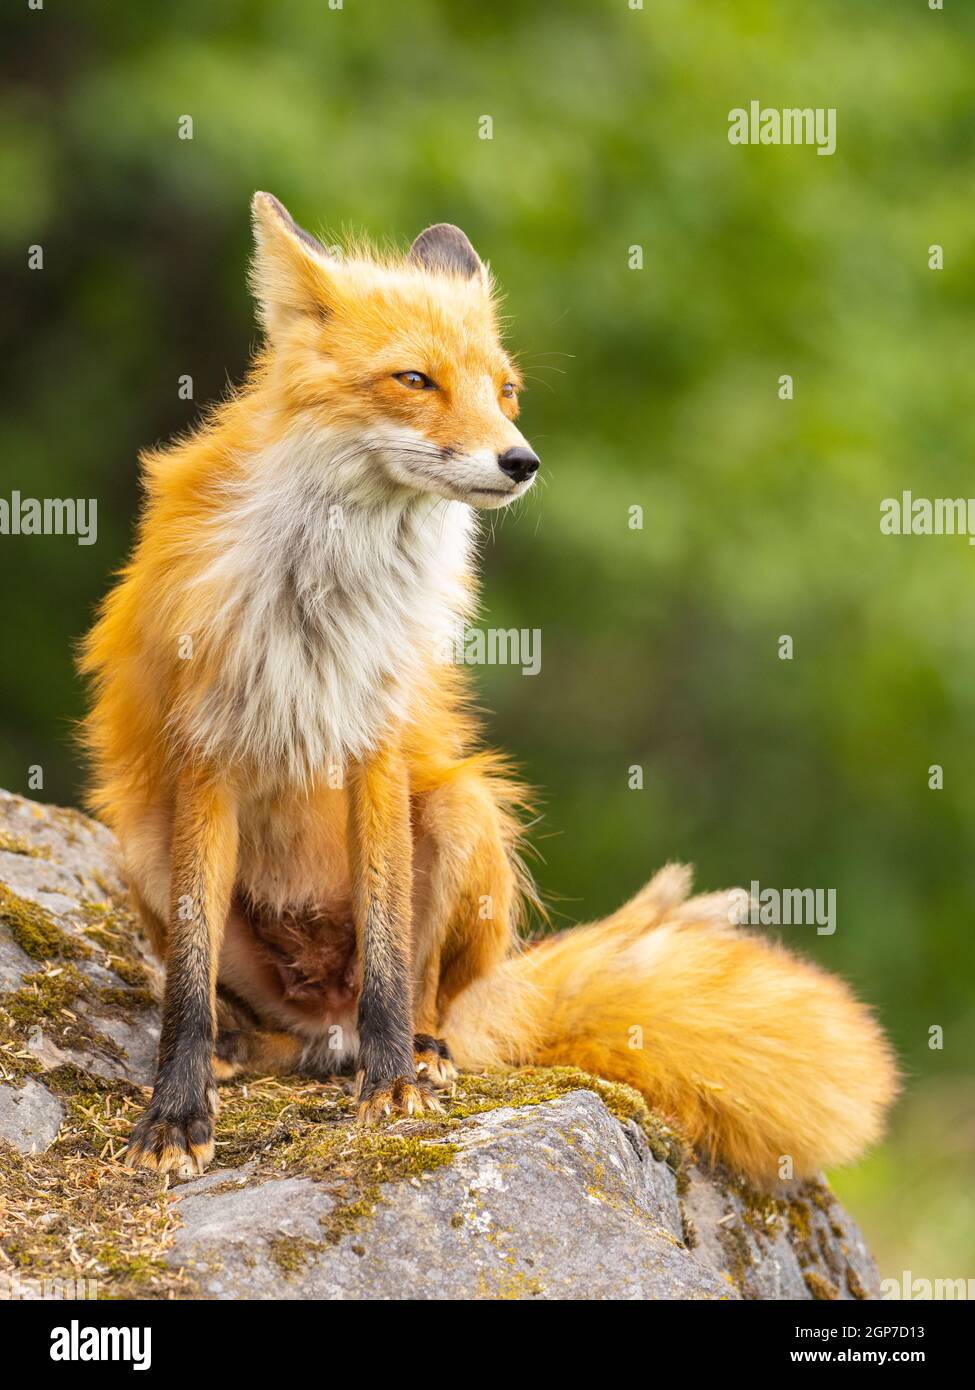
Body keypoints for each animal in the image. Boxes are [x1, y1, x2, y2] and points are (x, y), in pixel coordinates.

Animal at [80, 192, 897, 1185]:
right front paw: (175, 1116)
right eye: (415, 379)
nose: (522, 461)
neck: (320, 595)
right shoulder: (205, 752)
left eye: (504, 390)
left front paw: (393, 1088)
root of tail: (324, 1022)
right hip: (144, 841)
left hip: (464, 812)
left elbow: (390, 957)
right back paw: (256, 1054)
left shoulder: (378, 743)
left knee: (417, 1003)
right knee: (282, 1036)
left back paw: (417, 1056)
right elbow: (187, 993)